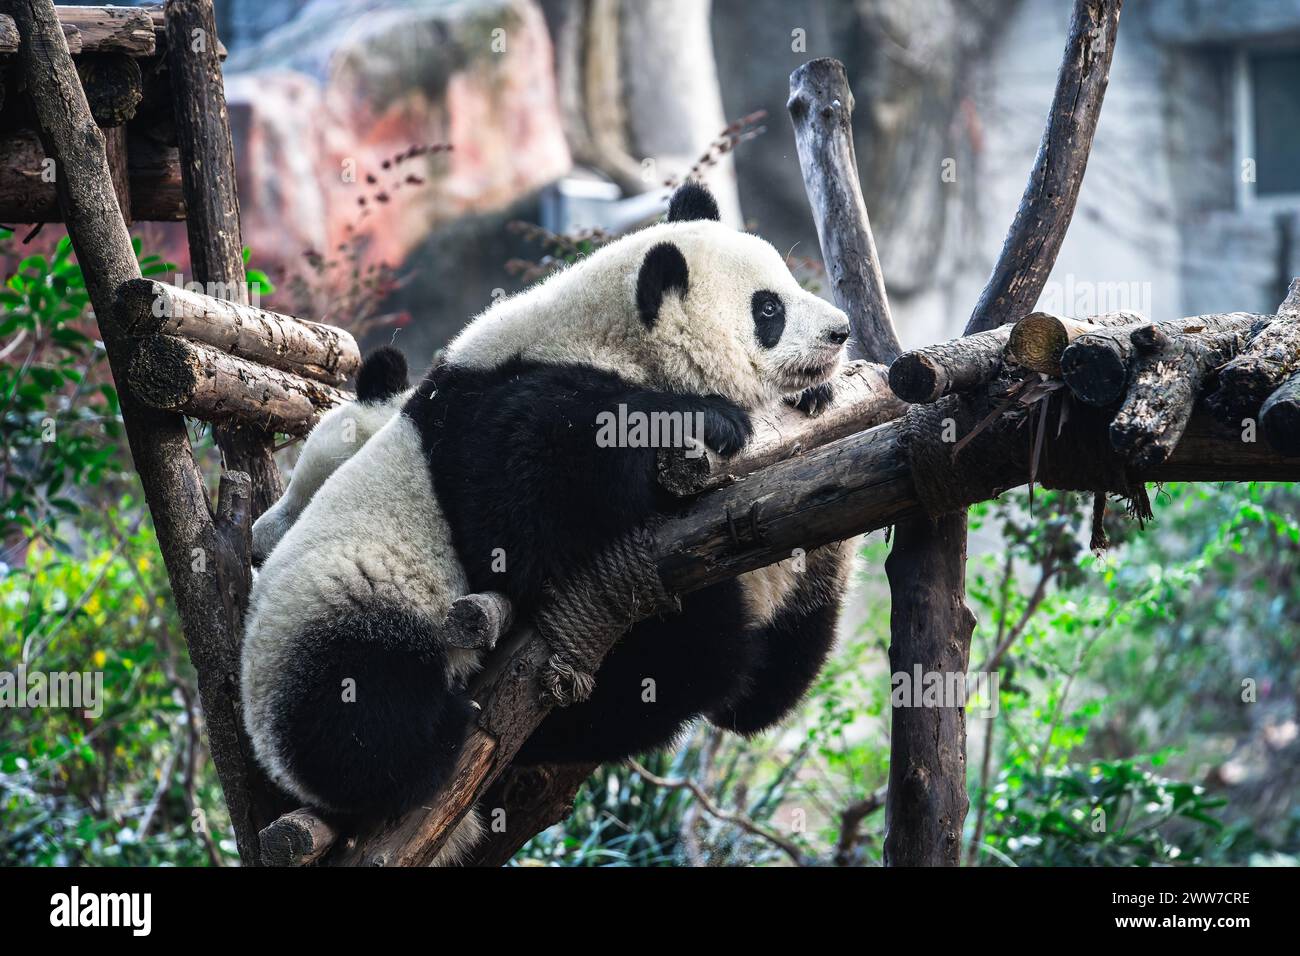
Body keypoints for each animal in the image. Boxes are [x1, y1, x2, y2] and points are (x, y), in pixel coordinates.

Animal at [241, 181, 854, 862]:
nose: (841, 330)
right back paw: (433, 735)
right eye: (768, 310)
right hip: (335, 609)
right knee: (354, 702)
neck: (603, 336)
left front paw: (818, 403)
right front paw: (706, 419)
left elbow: (753, 698)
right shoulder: (497, 420)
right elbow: (525, 514)